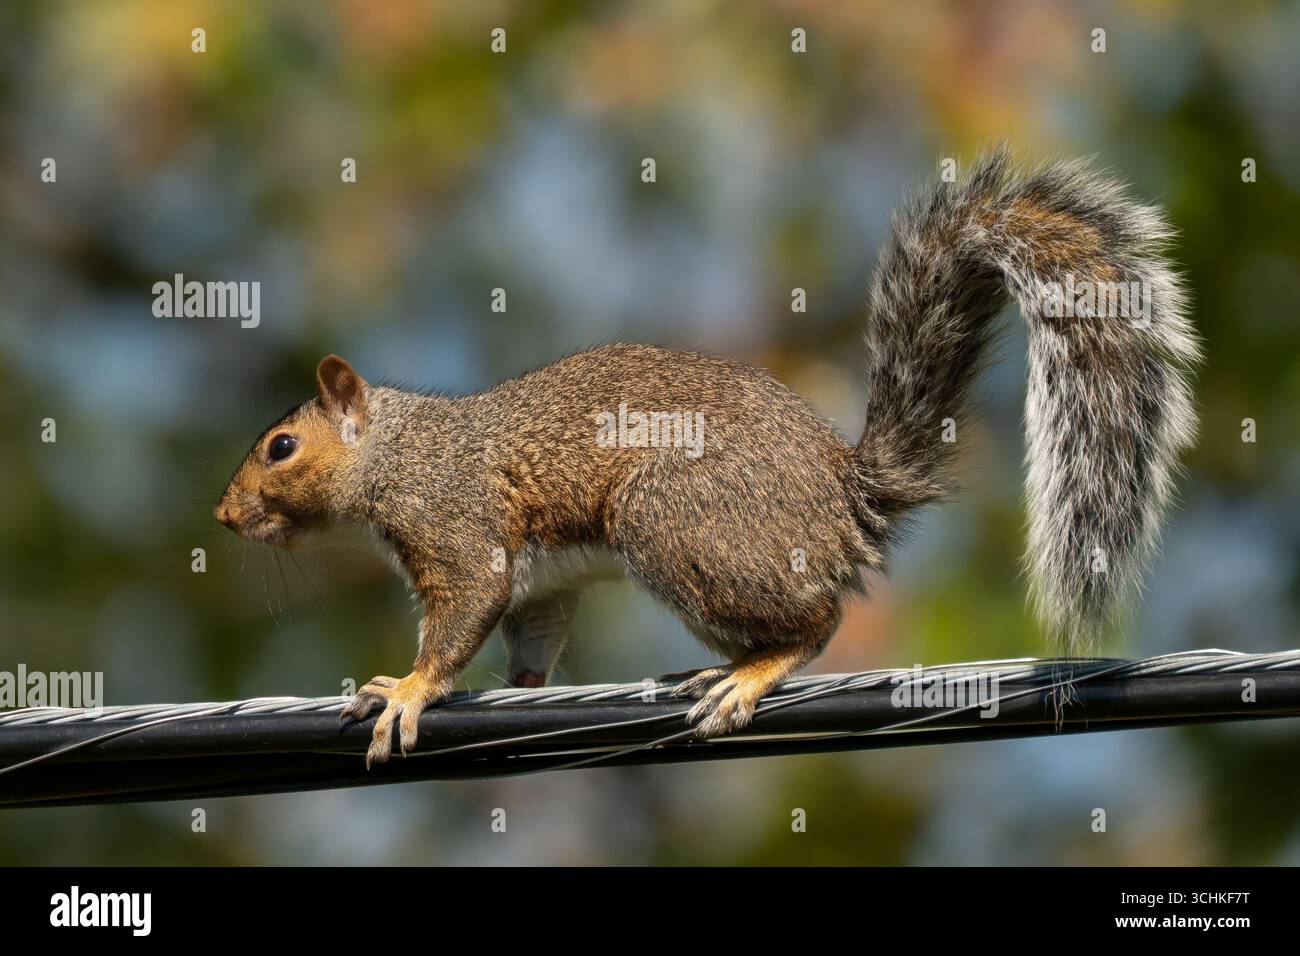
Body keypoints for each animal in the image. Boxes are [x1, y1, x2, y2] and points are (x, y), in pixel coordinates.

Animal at [216, 148, 1199, 766]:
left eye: (282, 446)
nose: (224, 517)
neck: (395, 449)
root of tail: (845, 494)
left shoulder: (453, 520)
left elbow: (463, 607)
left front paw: (412, 688)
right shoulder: (544, 584)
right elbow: (531, 632)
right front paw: (516, 686)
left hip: (675, 519)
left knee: (815, 623)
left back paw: (748, 672)